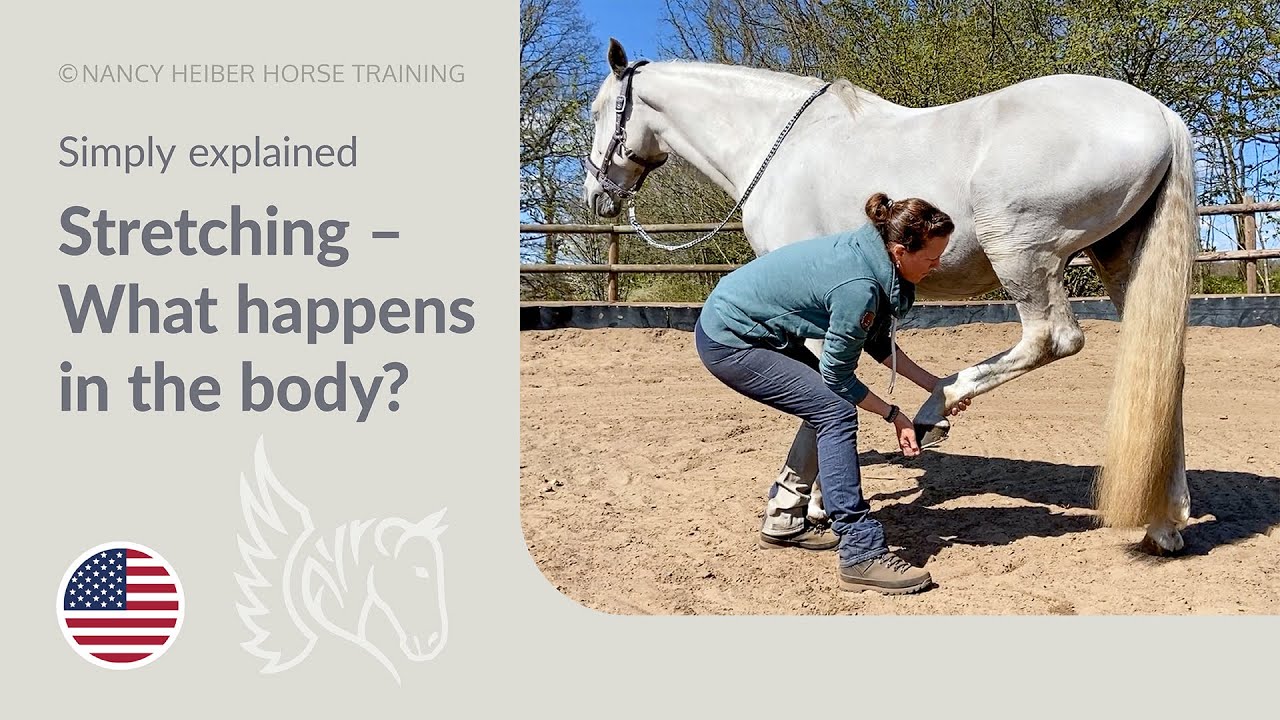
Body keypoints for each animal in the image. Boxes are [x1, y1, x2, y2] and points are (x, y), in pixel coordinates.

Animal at [582, 39, 1197, 553]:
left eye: (597, 111)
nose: (595, 194)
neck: (777, 144)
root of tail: (1161, 117)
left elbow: (823, 394)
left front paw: (806, 509)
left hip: (1022, 253)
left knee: (1052, 338)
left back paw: (936, 406)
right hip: (1122, 263)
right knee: (1162, 369)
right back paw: (1166, 525)